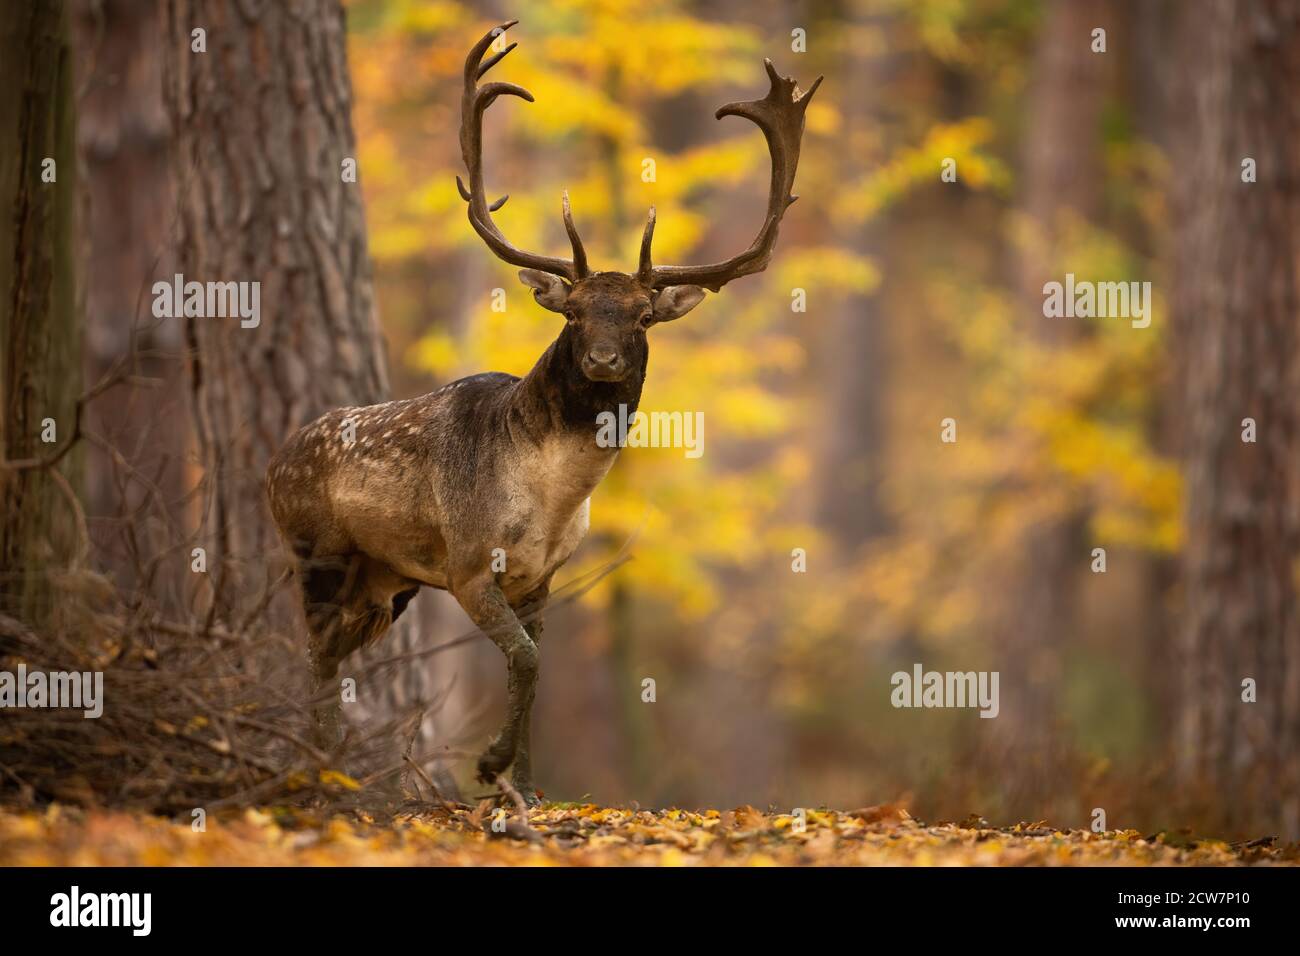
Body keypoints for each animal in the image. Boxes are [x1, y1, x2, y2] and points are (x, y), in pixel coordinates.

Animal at [265, 20, 820, 804]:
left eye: (643, 315)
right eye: (577, 312)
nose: (606, 360)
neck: (553, 498)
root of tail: (274, 460)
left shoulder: (543, 577)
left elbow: (533, 669)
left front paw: (524, 788)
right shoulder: (469, 564)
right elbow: (525, 661)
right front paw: (490, 769)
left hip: (386, 579)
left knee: (333, 653)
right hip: (315, 550)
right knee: (313, 654)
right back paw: (320, 775)